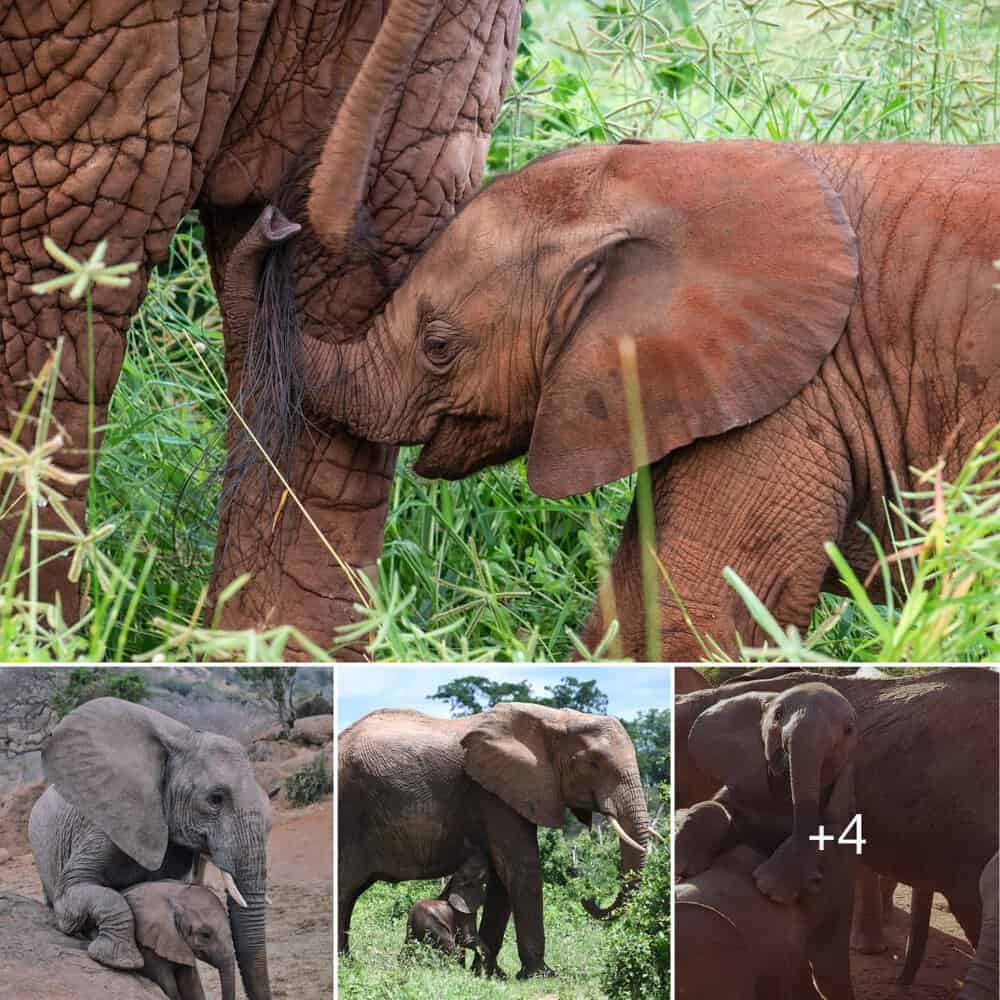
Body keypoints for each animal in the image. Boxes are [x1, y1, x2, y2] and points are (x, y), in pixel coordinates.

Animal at [291, 136, 999, 660]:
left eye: (438, 347)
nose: (277, 223)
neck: (664, 172)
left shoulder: (787, 393)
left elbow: (691, 617)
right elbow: (636, 614)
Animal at [338, 703, 652, 978]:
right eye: (593, 763)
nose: (589, 897)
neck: (553, 720)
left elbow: (503, 878)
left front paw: (489, 973)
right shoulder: (494, 794)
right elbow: (521, 867)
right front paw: (541, 975)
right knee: (345, 890)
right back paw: (346, 966)